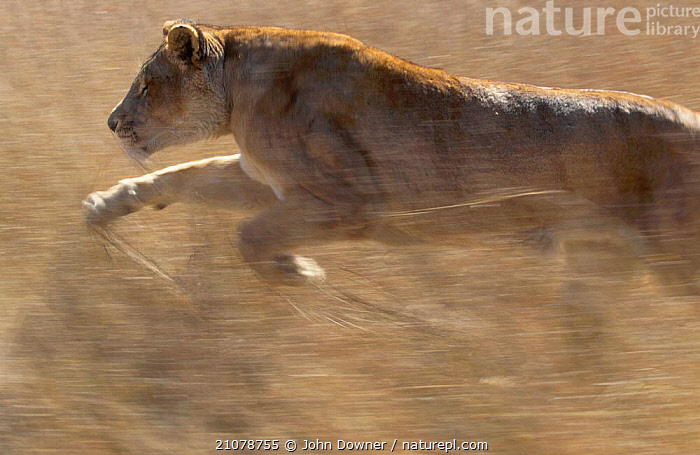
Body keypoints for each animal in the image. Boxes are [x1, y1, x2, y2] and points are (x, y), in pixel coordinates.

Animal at [83, 19, 700, 287]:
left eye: (146, 84)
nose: (111, 123)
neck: (239, 86)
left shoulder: (350, 202)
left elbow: (250, 235)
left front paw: (295, 270)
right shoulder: (265, 180)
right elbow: (183, 176)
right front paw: (106, 206)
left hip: (678, 259)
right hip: (601, 262)